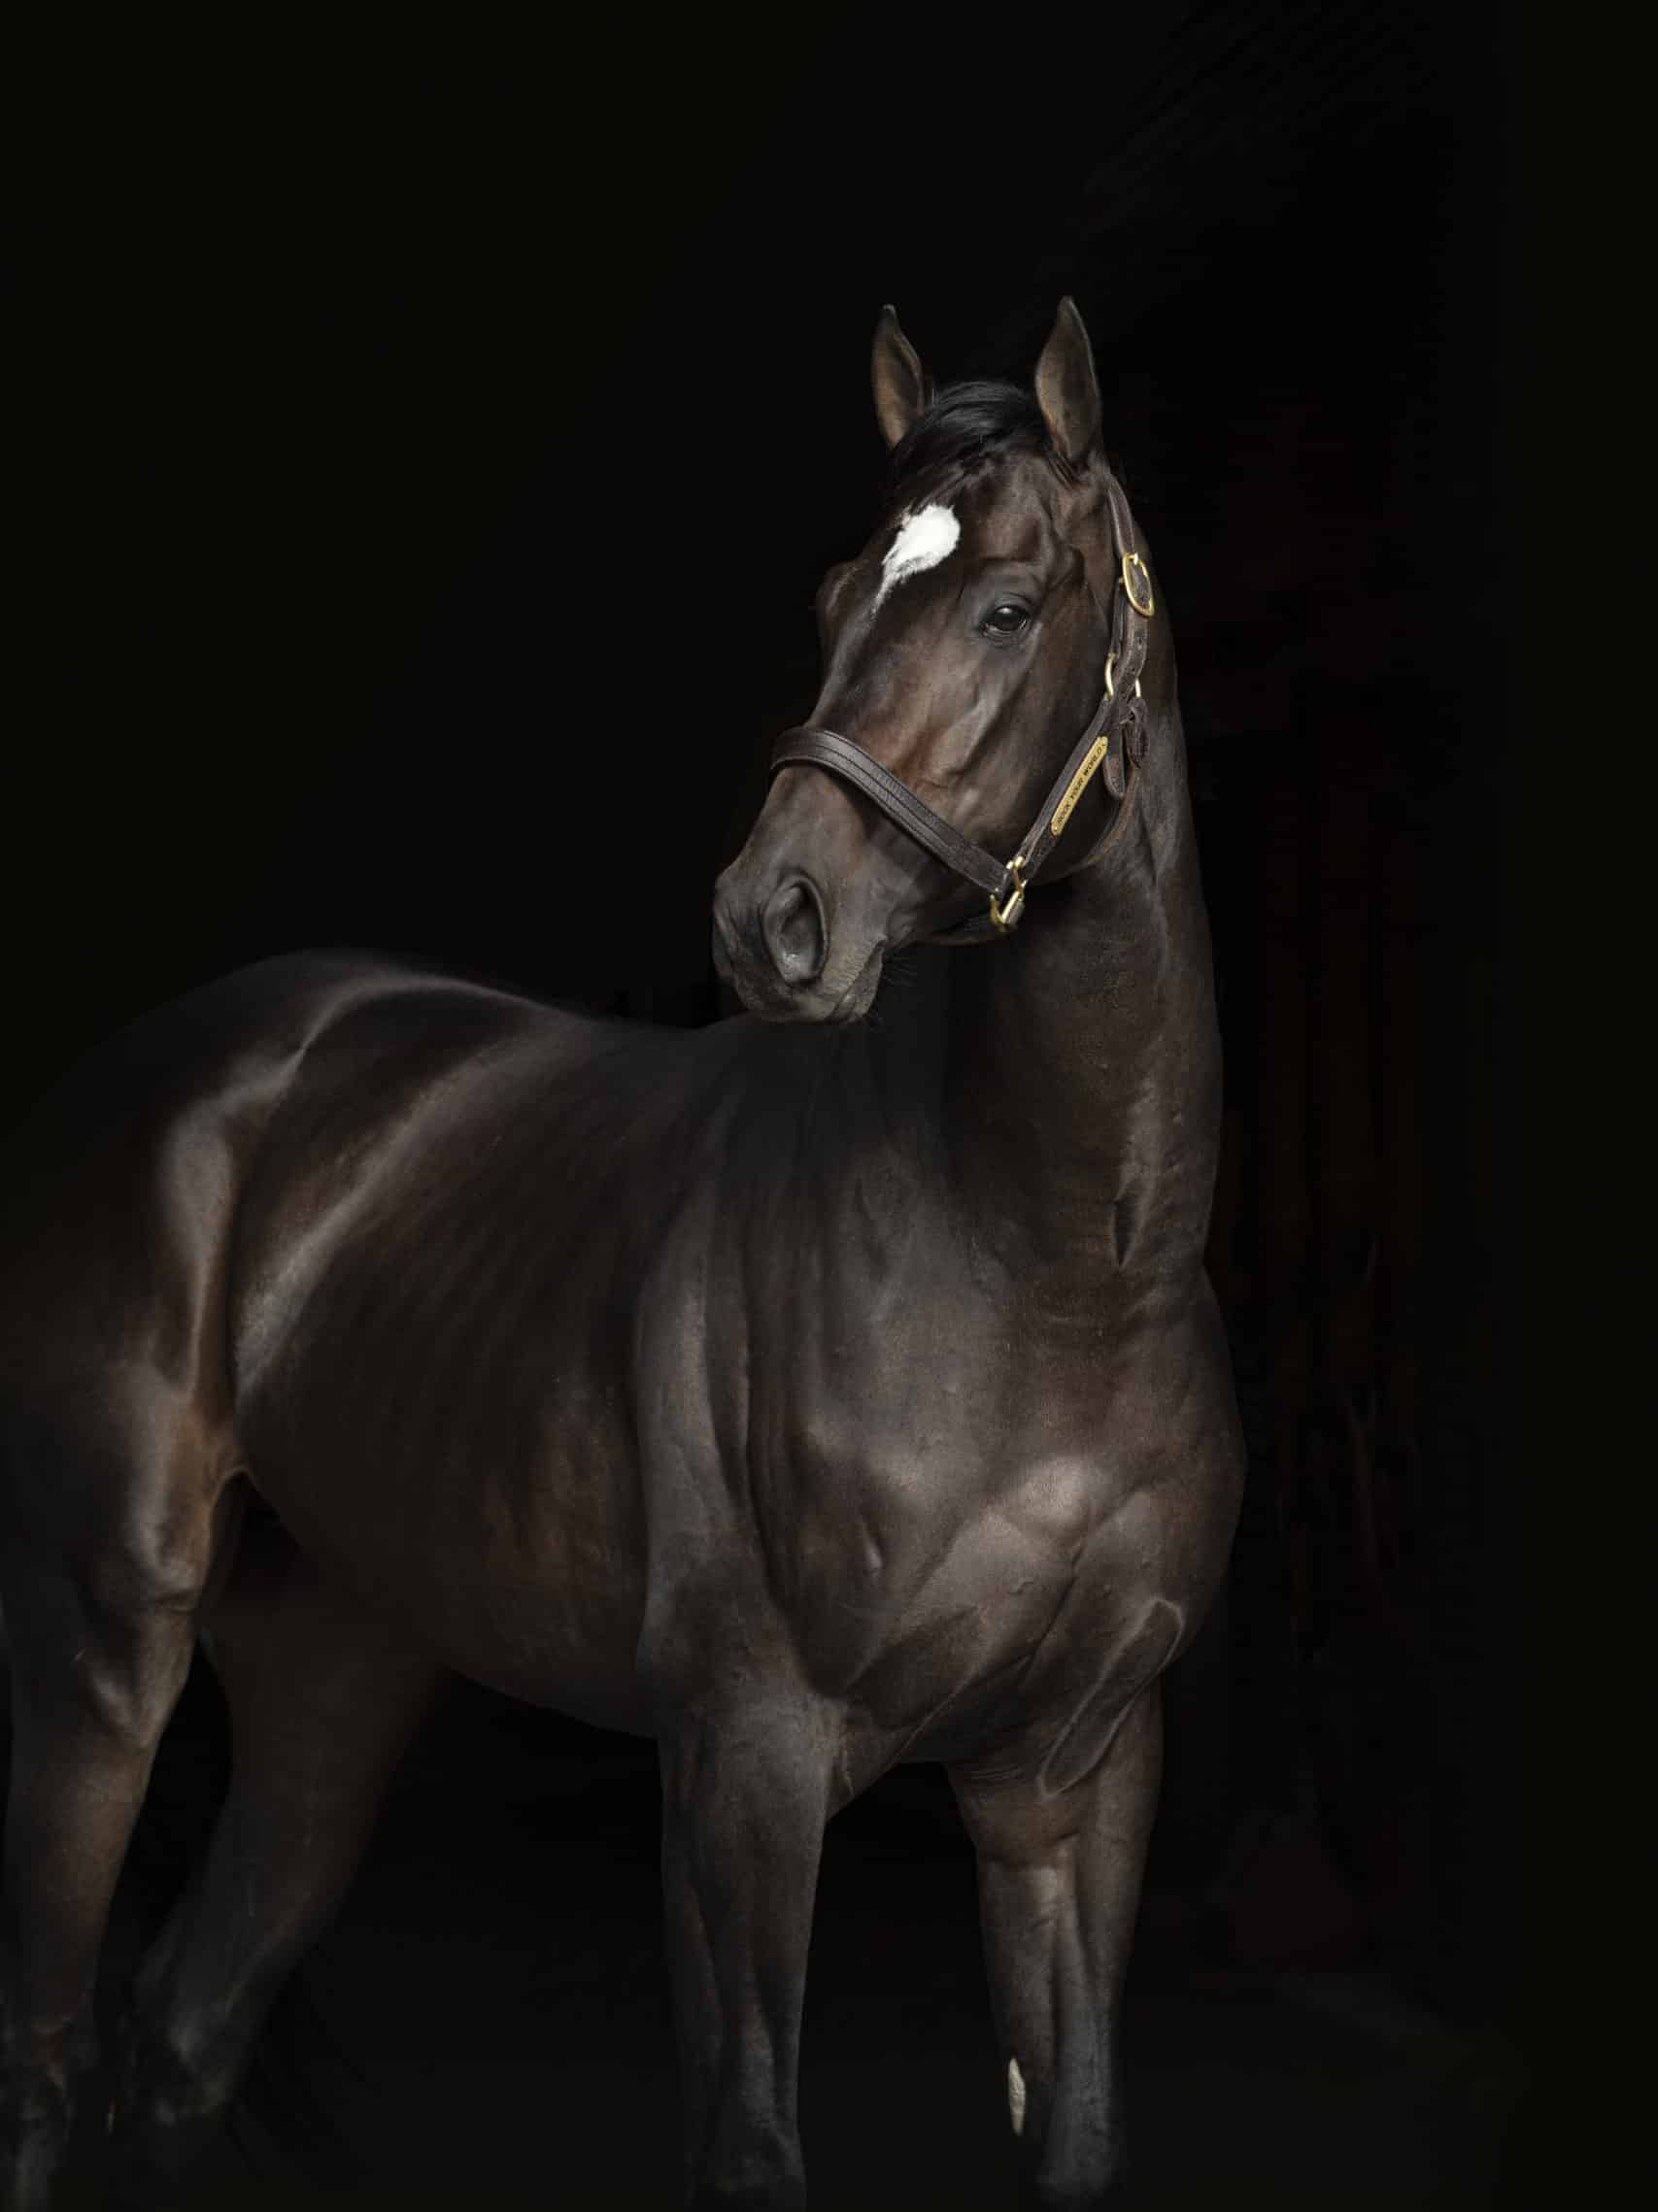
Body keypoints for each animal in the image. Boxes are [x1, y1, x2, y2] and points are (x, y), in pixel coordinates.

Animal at [0, 297, 1244, 2211]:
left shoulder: (1073, 1774)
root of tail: (147, 1076)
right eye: (835, 592)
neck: (1044, 1281)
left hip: (339, 1665)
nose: (771, 916)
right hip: (98, 1638)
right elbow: (748, 2143)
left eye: (1007, 605)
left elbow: (1081, 2132)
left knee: (189, 2025)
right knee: (47, 2054)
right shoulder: (747, 1757)